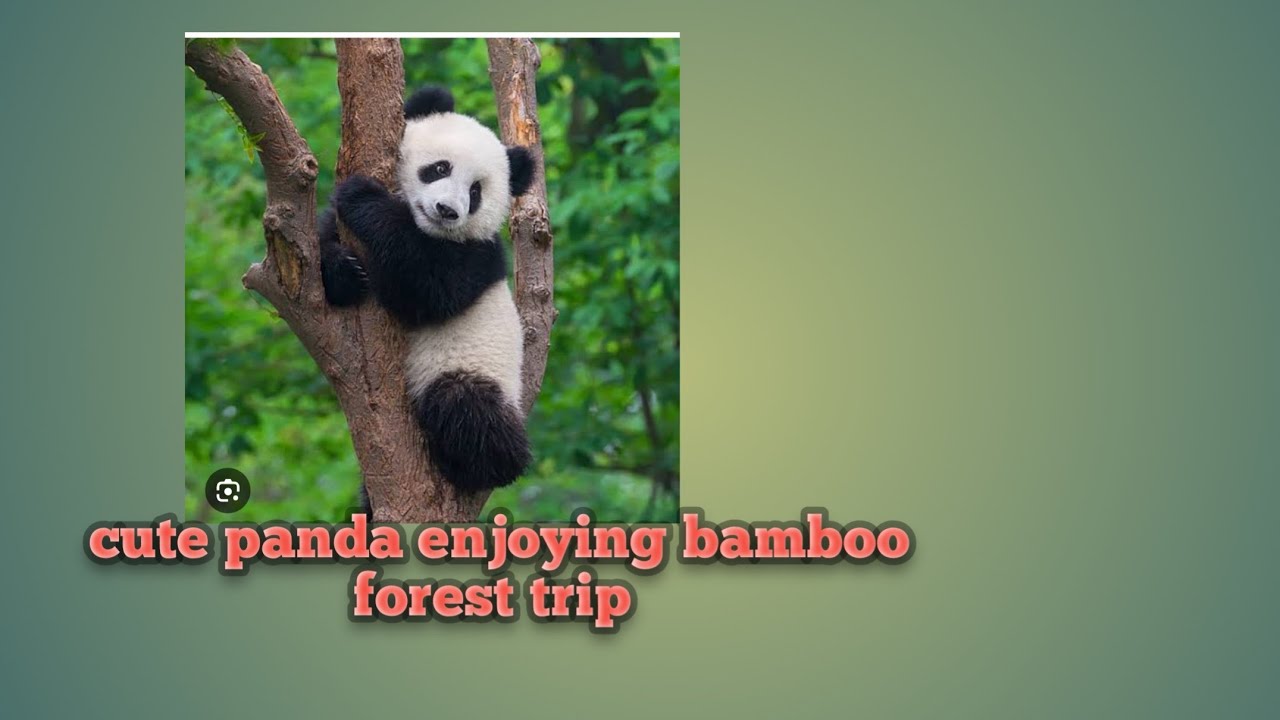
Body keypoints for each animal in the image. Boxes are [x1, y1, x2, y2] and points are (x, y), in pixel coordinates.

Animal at [319, 85, 537, 506]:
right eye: (439, 168)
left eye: (475, 192)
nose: (447, 210)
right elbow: (320, 246)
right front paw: (344, 272)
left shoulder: (478, 257)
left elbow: (427, 290)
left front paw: (362, 198)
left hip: (475, 370)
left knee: (467, 407)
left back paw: (478, 464)